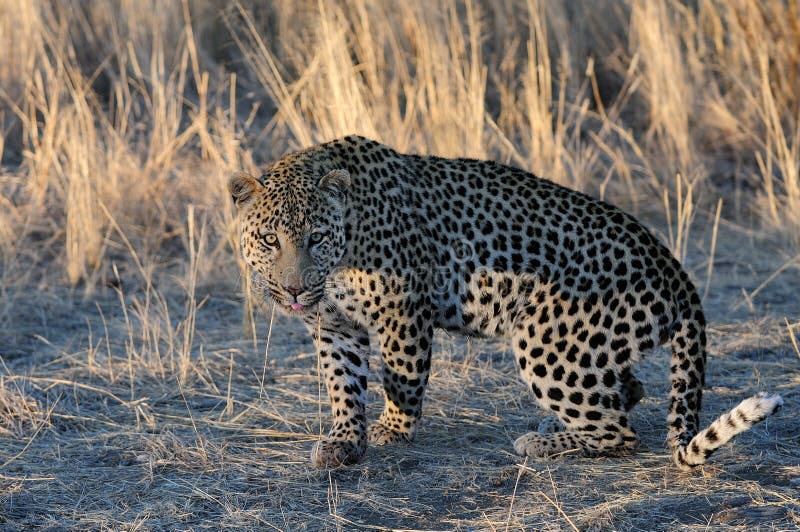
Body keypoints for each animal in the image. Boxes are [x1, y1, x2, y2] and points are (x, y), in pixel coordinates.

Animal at [229, 135, 783, 470]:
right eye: (271, 240)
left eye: (317, 237)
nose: (295, 289)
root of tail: (677, 273)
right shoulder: (336, 325)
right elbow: (342, 383)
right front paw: (345, 439)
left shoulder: (401, 311)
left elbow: (400, 377)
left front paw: (391, 429)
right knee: (630, 389)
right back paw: (554, 425)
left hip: (549, 342)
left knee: (620, 434)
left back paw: (542, 441)